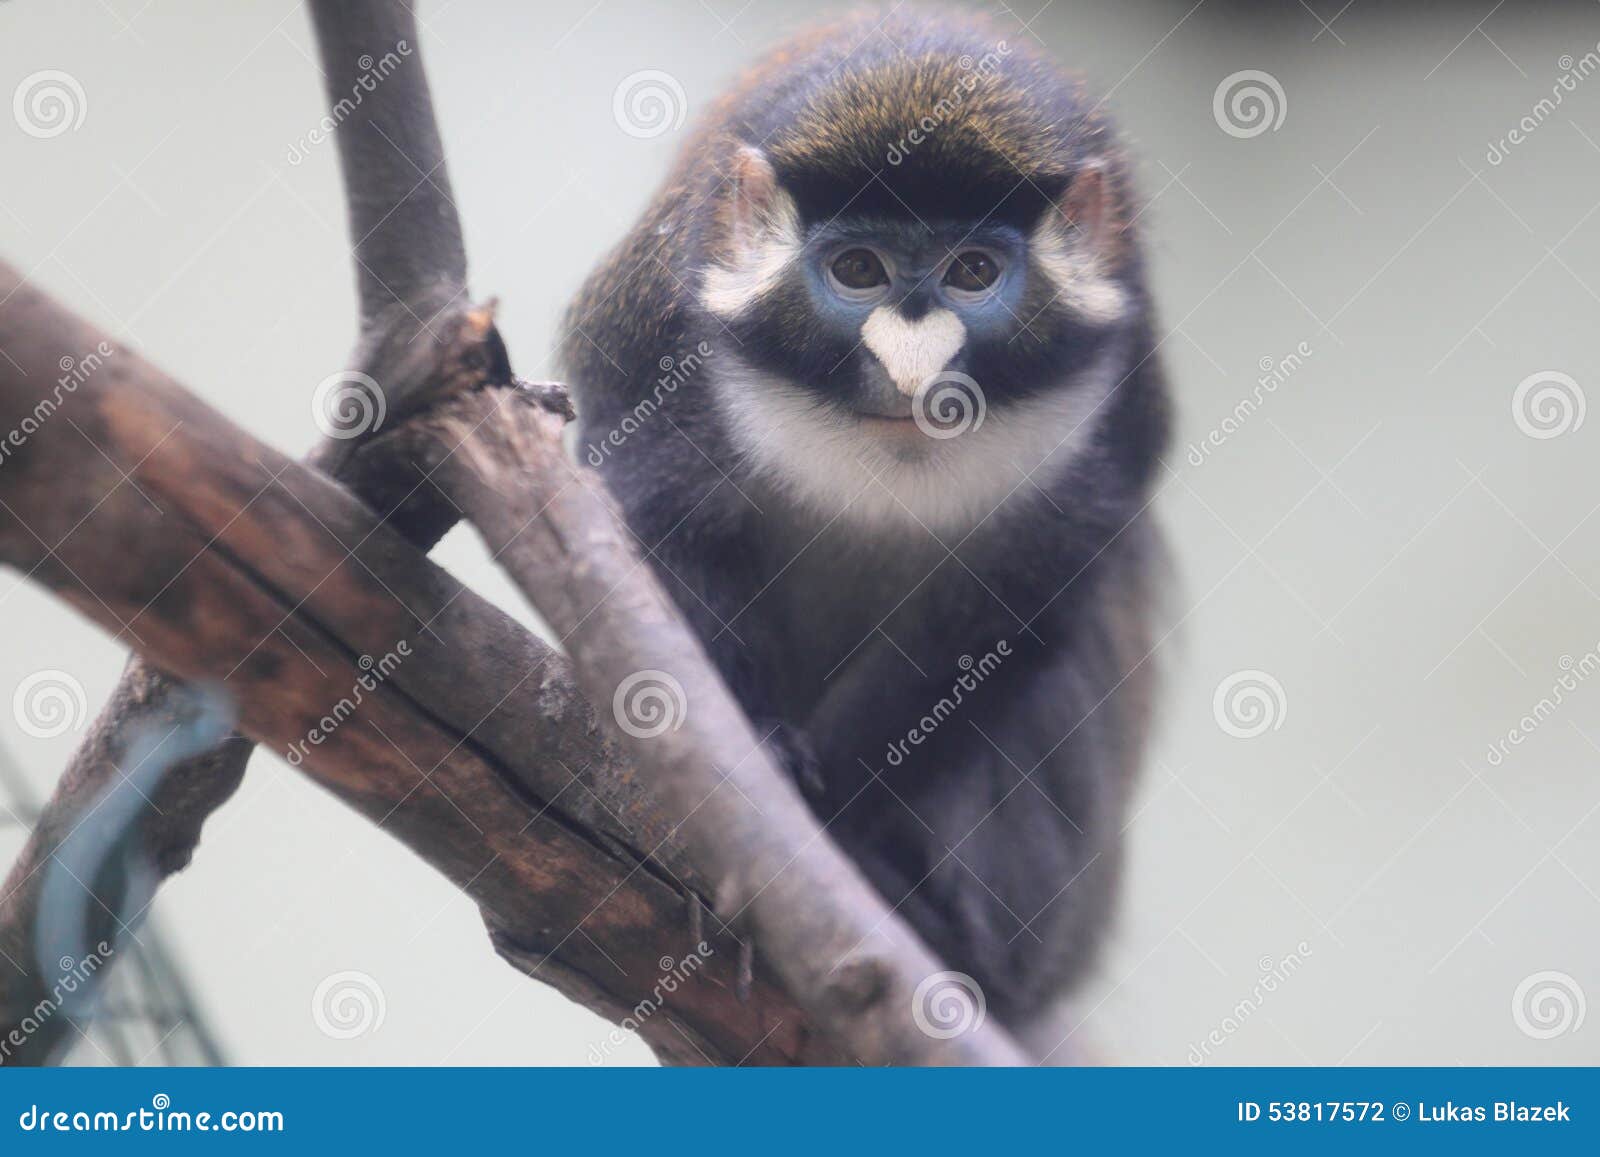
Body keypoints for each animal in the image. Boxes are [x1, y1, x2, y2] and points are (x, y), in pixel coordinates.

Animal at [560, 7, 1170, 1040]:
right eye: (857, 270)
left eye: (973, 272)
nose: (915, 371)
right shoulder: (662, 338)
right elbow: (653, 523)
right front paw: (749, 774)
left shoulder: (1114, 405)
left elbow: (1015, 611)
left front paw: (830, 830)